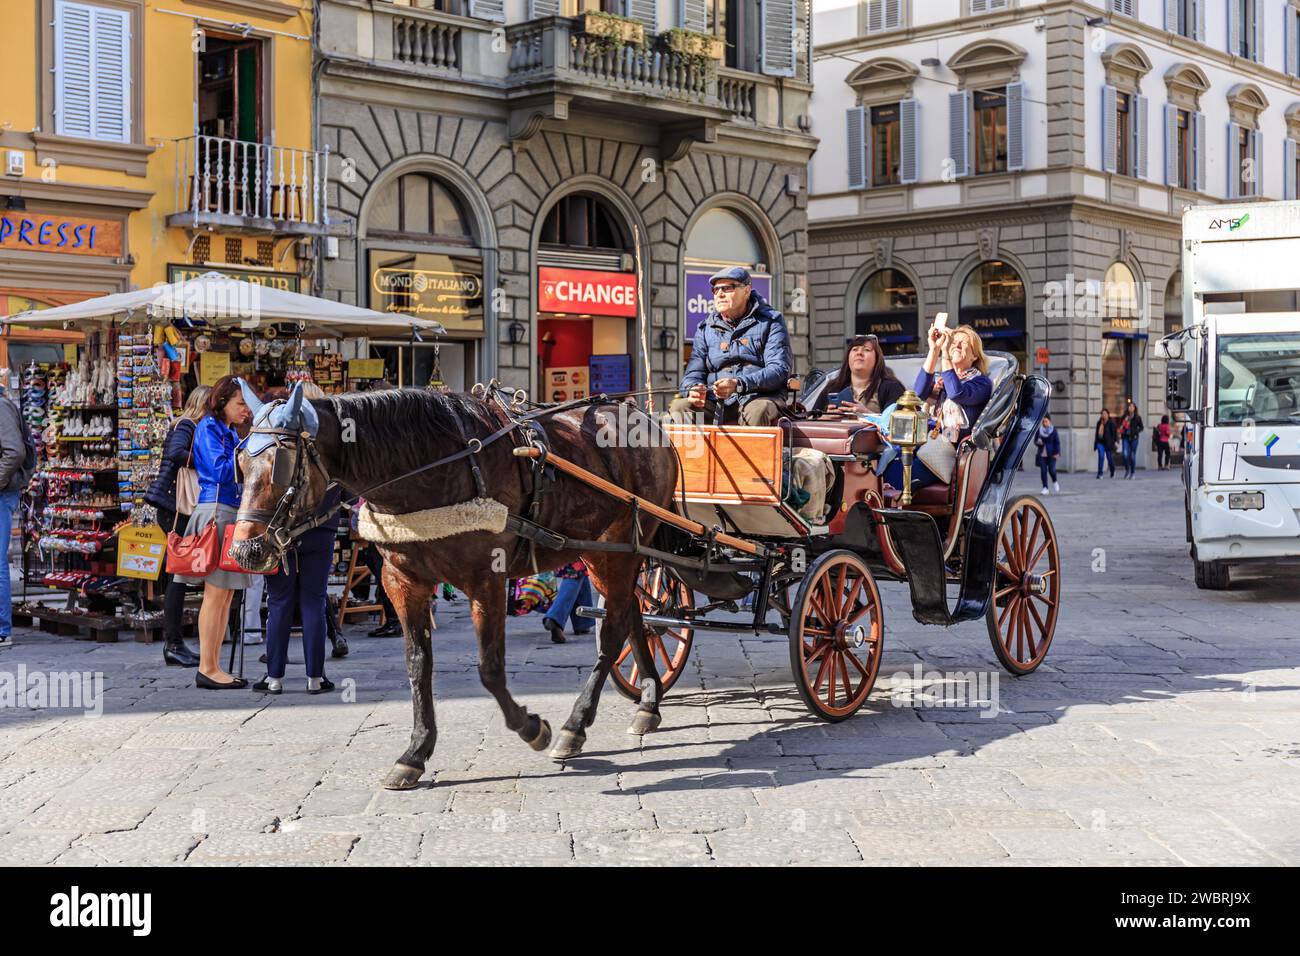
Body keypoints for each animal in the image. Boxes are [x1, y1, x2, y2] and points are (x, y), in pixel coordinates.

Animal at [227, 381, 677, 790]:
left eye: (282, 465)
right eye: (241, 465)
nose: (247, 550)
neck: (431, 466)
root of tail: (648, 421)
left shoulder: (486, 579)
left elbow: (490, 670)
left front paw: (533, 728)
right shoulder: (400, 581)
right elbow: (418, 665)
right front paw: (414, 753)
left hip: (621, 546)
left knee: (613, 630)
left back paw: (575, 726)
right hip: (603, 551)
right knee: (634, 614)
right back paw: (649, 702)